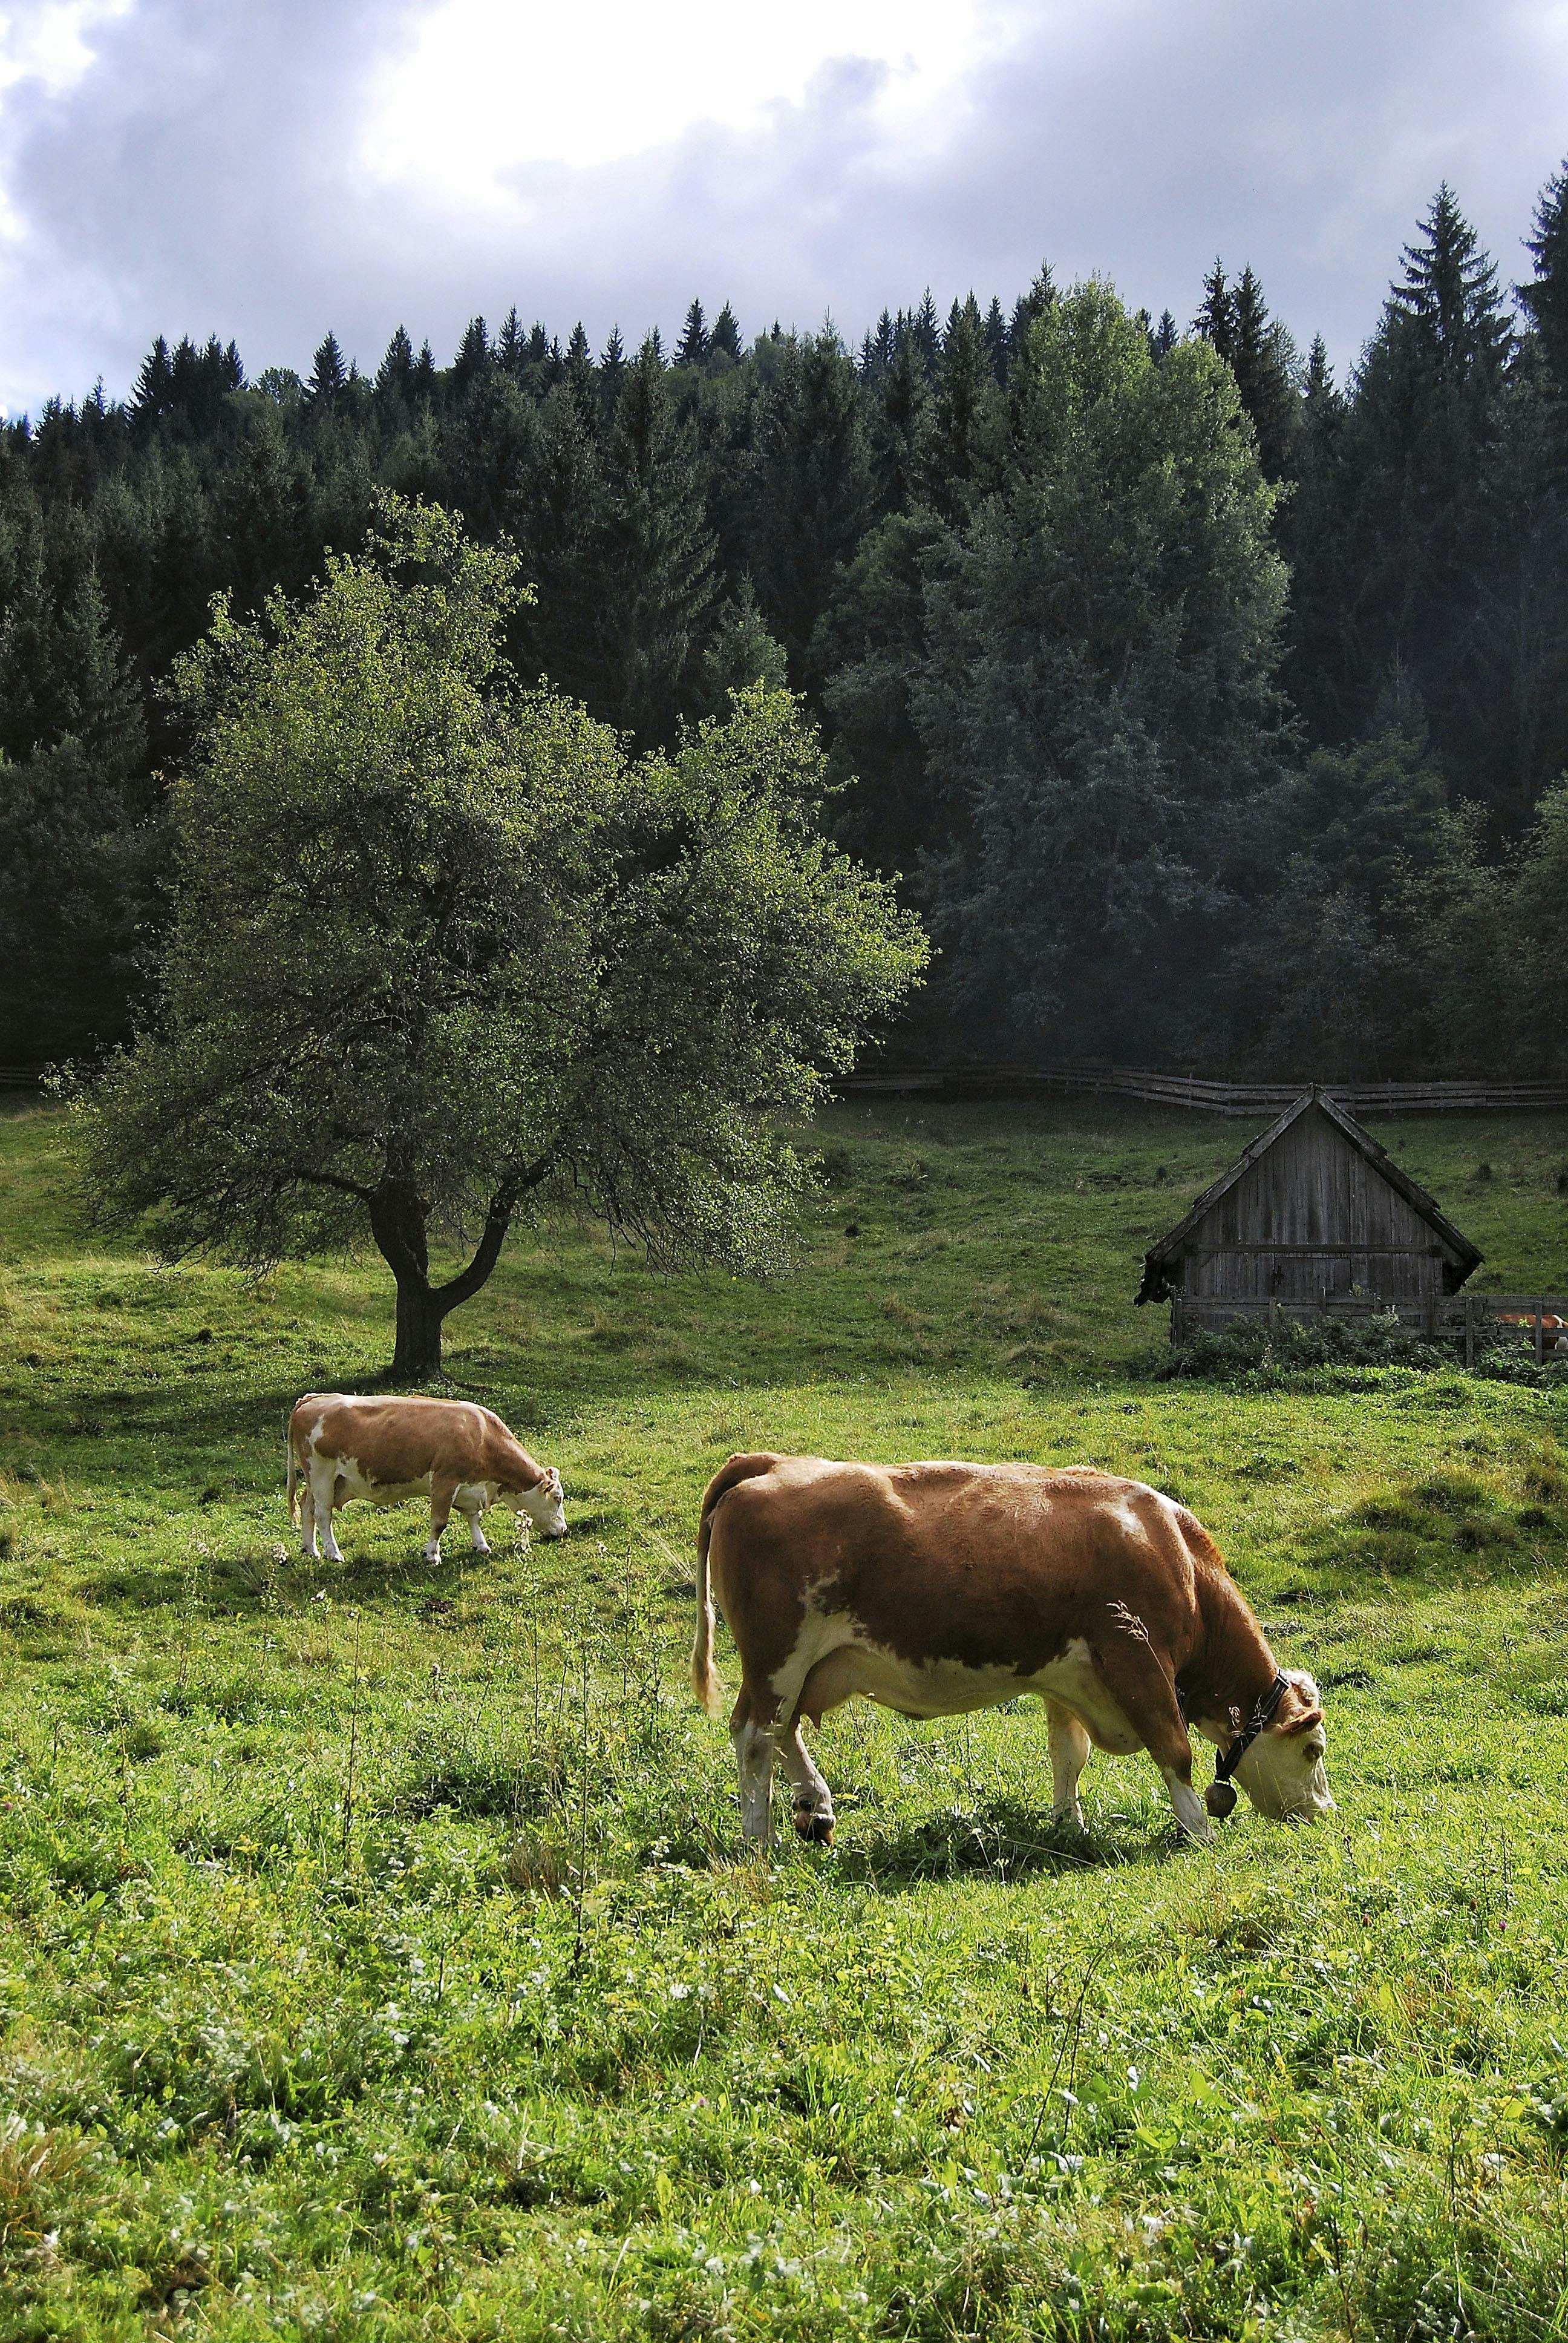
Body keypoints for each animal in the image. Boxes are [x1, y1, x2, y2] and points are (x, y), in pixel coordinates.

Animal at [286, 1393, 566, 1563]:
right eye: (557, 1498)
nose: (563, 1529)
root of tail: (313, 1398)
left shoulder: (469, 1488)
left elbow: (474, 1518)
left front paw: (481, 1545)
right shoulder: (445, 1481)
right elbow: (439, 1523)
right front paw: (433, 1555)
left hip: (323, 1480)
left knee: (307, 1507)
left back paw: (311, 1549)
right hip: (322, 1475)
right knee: (323, 1514)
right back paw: (333, 1553)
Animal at [691, 1453, 1330, 1848]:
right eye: (1314, 1750)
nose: (1324, 1813)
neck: (1175, 1553)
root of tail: (771, 1463)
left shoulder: (1069, 1677)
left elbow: (1069, 1755)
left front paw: (1069, 1825)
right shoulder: (1138, 1662)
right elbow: (1175, 1751)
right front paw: (1199, 1830)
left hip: (806, 1668)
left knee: (784, 1731)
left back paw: (816, 1807)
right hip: (778, 1657)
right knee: (755, 1736)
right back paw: (760, 1840)